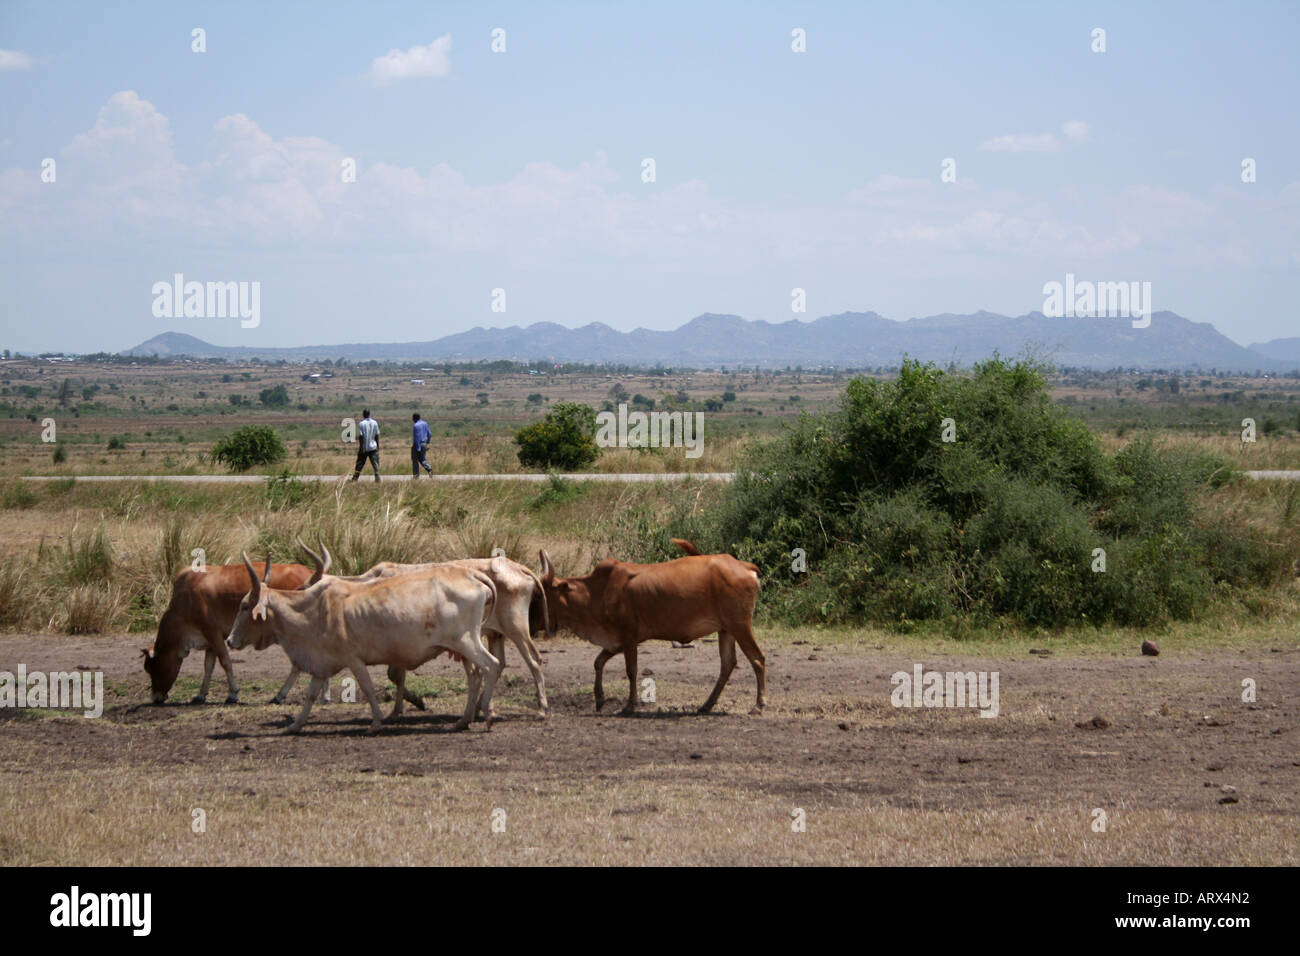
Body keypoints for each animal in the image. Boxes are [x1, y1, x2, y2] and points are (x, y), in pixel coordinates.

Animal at [142, 562, 316, 705]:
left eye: (150, 667)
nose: (155, 697)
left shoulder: (213, 632)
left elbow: (225, 661)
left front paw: (232, 694)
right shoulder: (210, 639)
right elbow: (208, 666)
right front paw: (201, 694)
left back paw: (281, 695)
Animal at [226, 553, 502, 735]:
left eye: (245, 606)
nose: (229, 640)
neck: (314, 610)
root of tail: (473, 576)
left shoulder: (353, 659)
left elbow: (368, 688)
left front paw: (377, 722)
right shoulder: (321, 664)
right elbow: (311, 695)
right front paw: (295, 724)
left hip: (466, 642)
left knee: (491, 665)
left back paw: (486, 715)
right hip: (463, 647)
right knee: (476, 675)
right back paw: (464, 720)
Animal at [273, 541, 551, 720]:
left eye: (307, 589)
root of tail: (519, 568)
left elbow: (396, 674)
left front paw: (408, 704)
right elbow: (398, 675)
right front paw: (401, 708)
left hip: (517, 630)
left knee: (534, 661)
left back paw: (541, 708)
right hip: (495, 634)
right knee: (499, 664)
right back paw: (486, 708)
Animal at [537, 539, 766, 715]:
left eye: (543, 594)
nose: (534, 624)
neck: (598, 591)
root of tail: (744, 566)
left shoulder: (629, 638)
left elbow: (631, 671)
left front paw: (630, 706)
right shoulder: (616, 642)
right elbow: (598, 662)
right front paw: (600, 699)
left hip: (739, 626)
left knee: (757, 659)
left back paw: (758, 705)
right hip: (725, 630)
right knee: (727, 664)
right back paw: (706, 705)